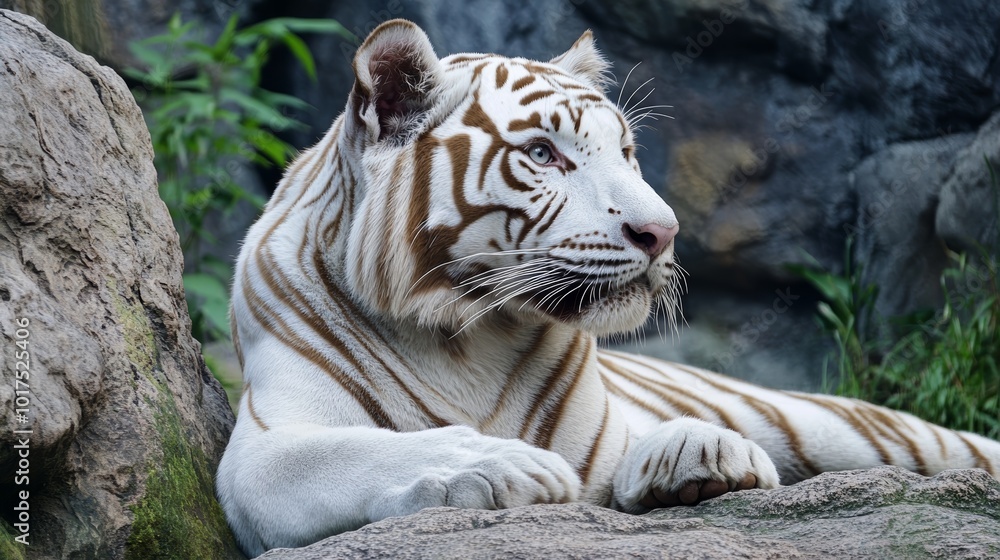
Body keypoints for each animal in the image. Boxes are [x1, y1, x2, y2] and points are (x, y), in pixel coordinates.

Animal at [216, 19, 1000, 556]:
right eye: (542, 154)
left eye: (625, 151)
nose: (664, 232)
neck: (466, 332)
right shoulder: (264, 446)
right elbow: (357, 450)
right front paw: (503, 462)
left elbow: (644, 442)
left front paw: (705, 457)